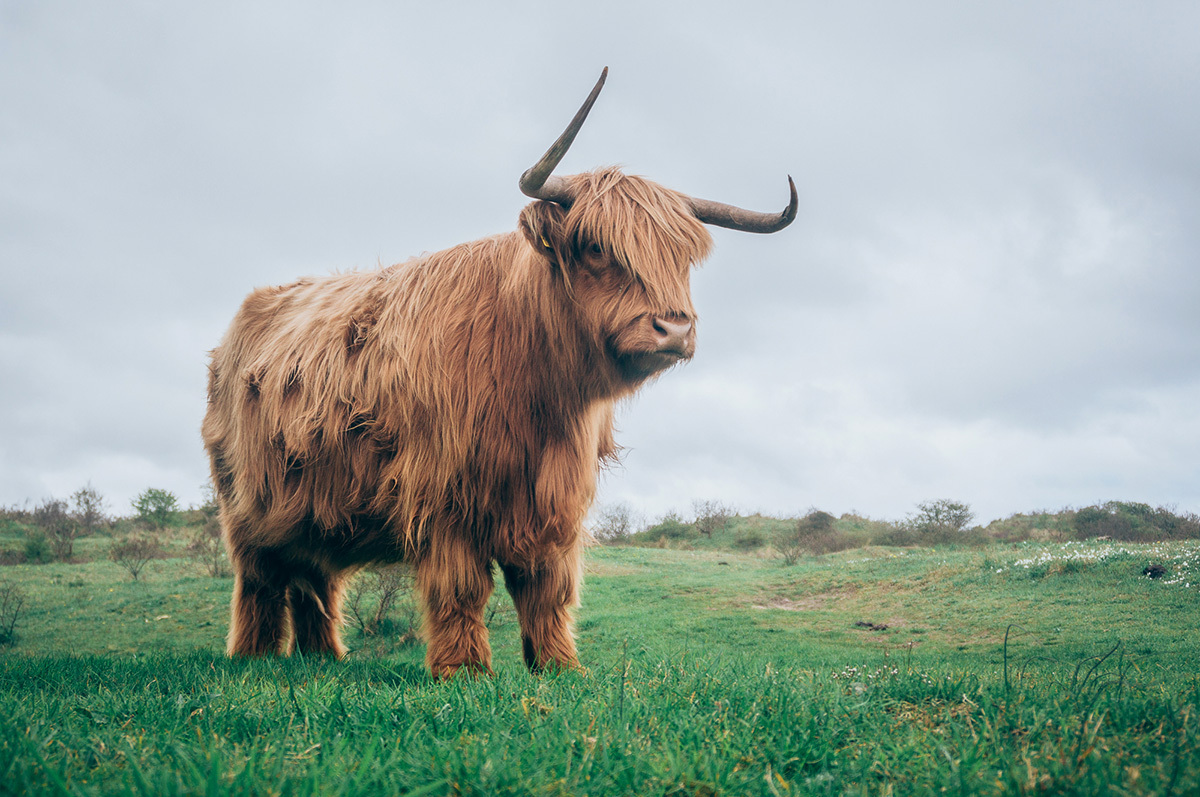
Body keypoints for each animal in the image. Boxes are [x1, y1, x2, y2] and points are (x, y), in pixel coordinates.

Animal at [202, 68, 796, 678]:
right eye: (596, 247)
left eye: (682, 258)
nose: (674, 329)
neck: (538, 394)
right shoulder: (444, 495)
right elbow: (461, 588)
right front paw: (464, 671)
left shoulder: (555, 502)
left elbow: (547, 589)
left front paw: (559, 667)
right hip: (246, 505)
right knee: (261, 580)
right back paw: (253, 657)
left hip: (312, 508)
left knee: (313, 579)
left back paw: (323, 658)